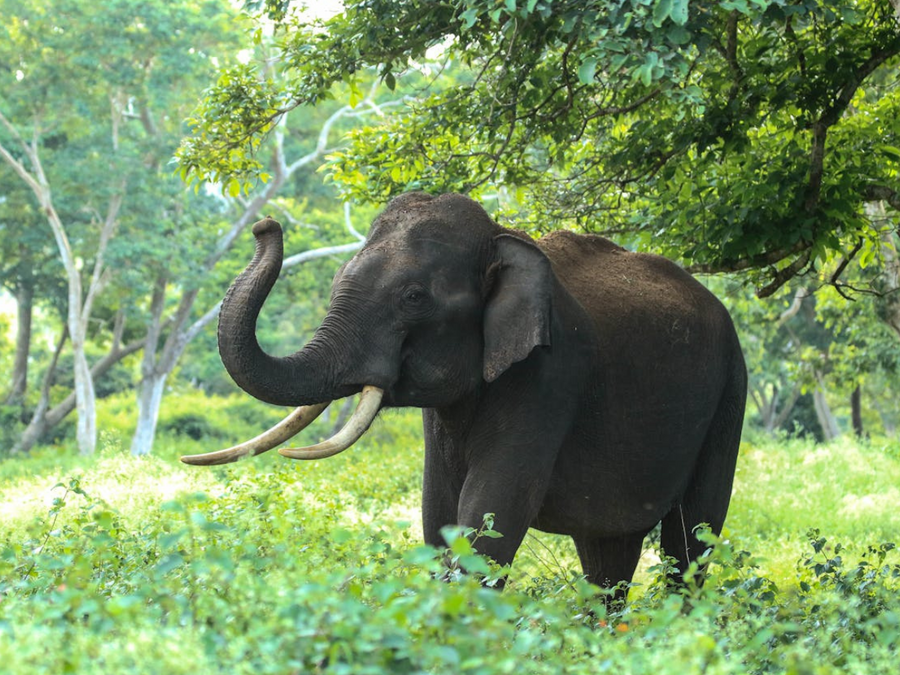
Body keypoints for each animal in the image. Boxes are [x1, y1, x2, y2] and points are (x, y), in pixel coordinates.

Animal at [183, 192, 747, 596]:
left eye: (413, 297)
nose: (265, 225)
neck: (501, 237)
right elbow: (439, 514)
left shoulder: (550, 375)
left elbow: (490, 514)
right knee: (607, 555)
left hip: (730, 393)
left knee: (691, 539)